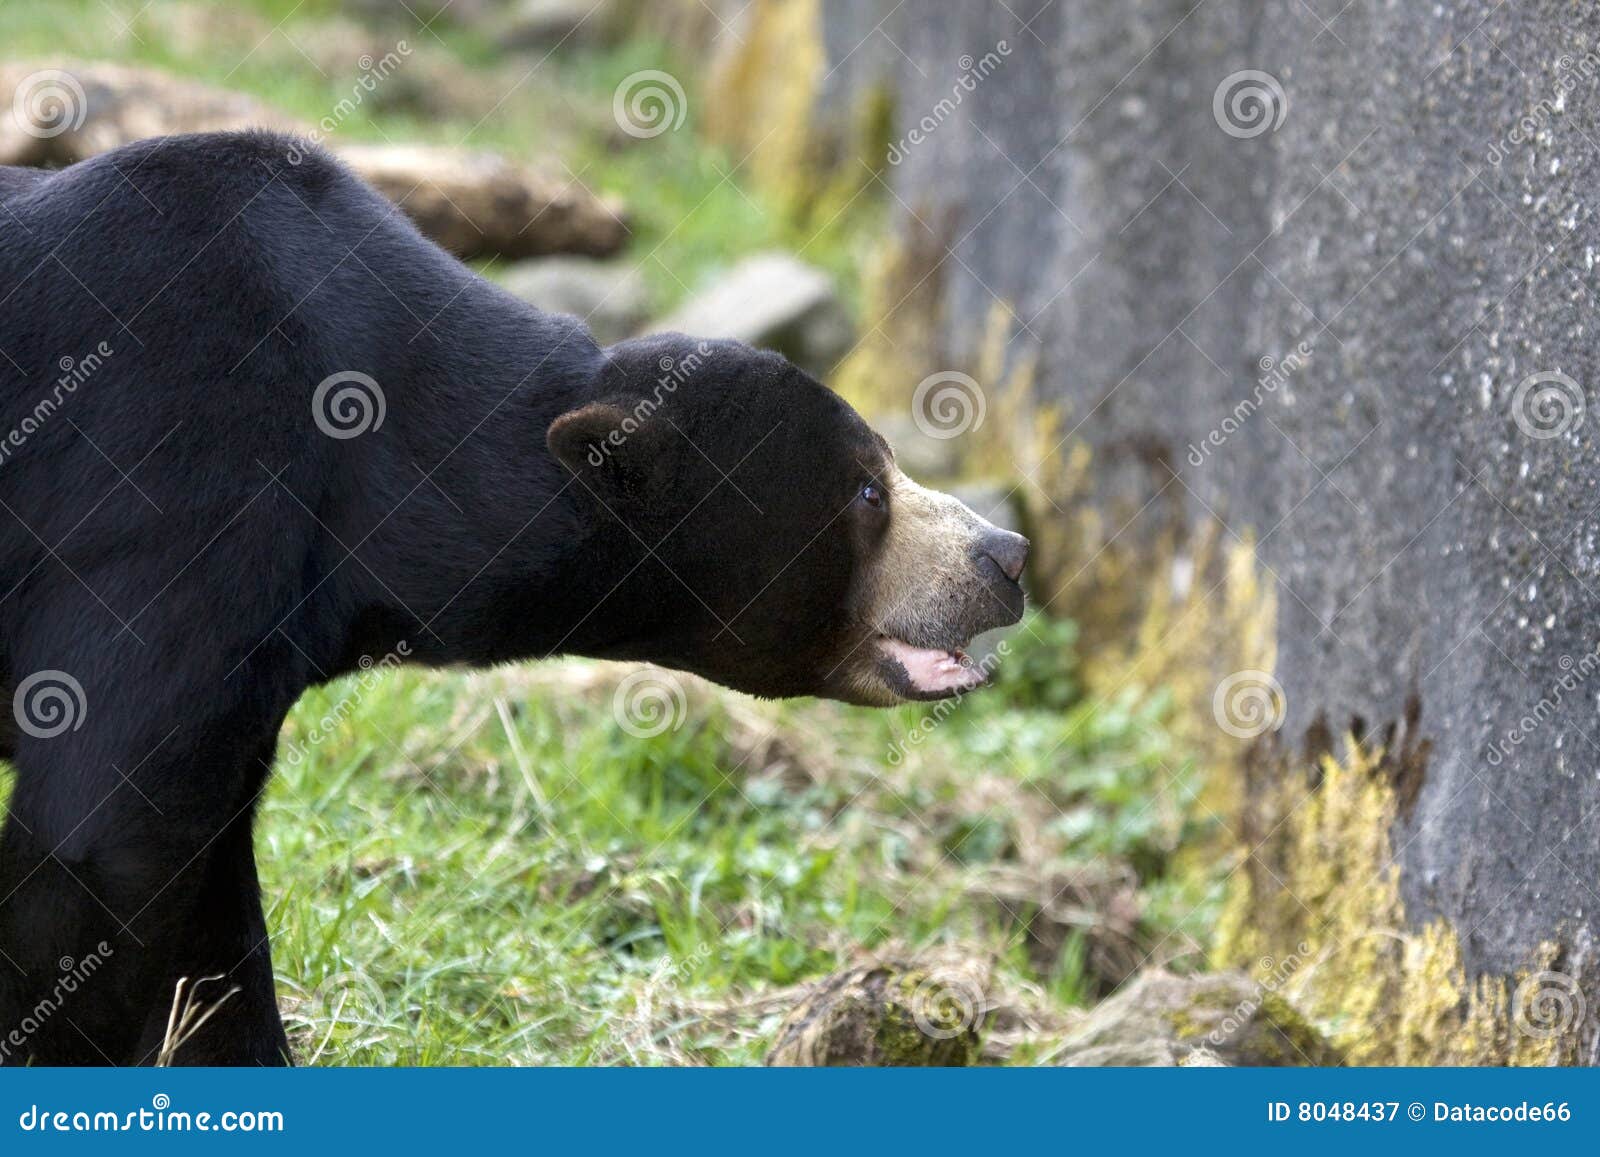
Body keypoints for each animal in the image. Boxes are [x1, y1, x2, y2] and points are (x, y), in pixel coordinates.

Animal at [0, 132, 1027, 1065]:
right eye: (866, 492)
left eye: (886, 467)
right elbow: (108, 823)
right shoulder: (182, 486)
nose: (1007, 558)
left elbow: (199, 873)